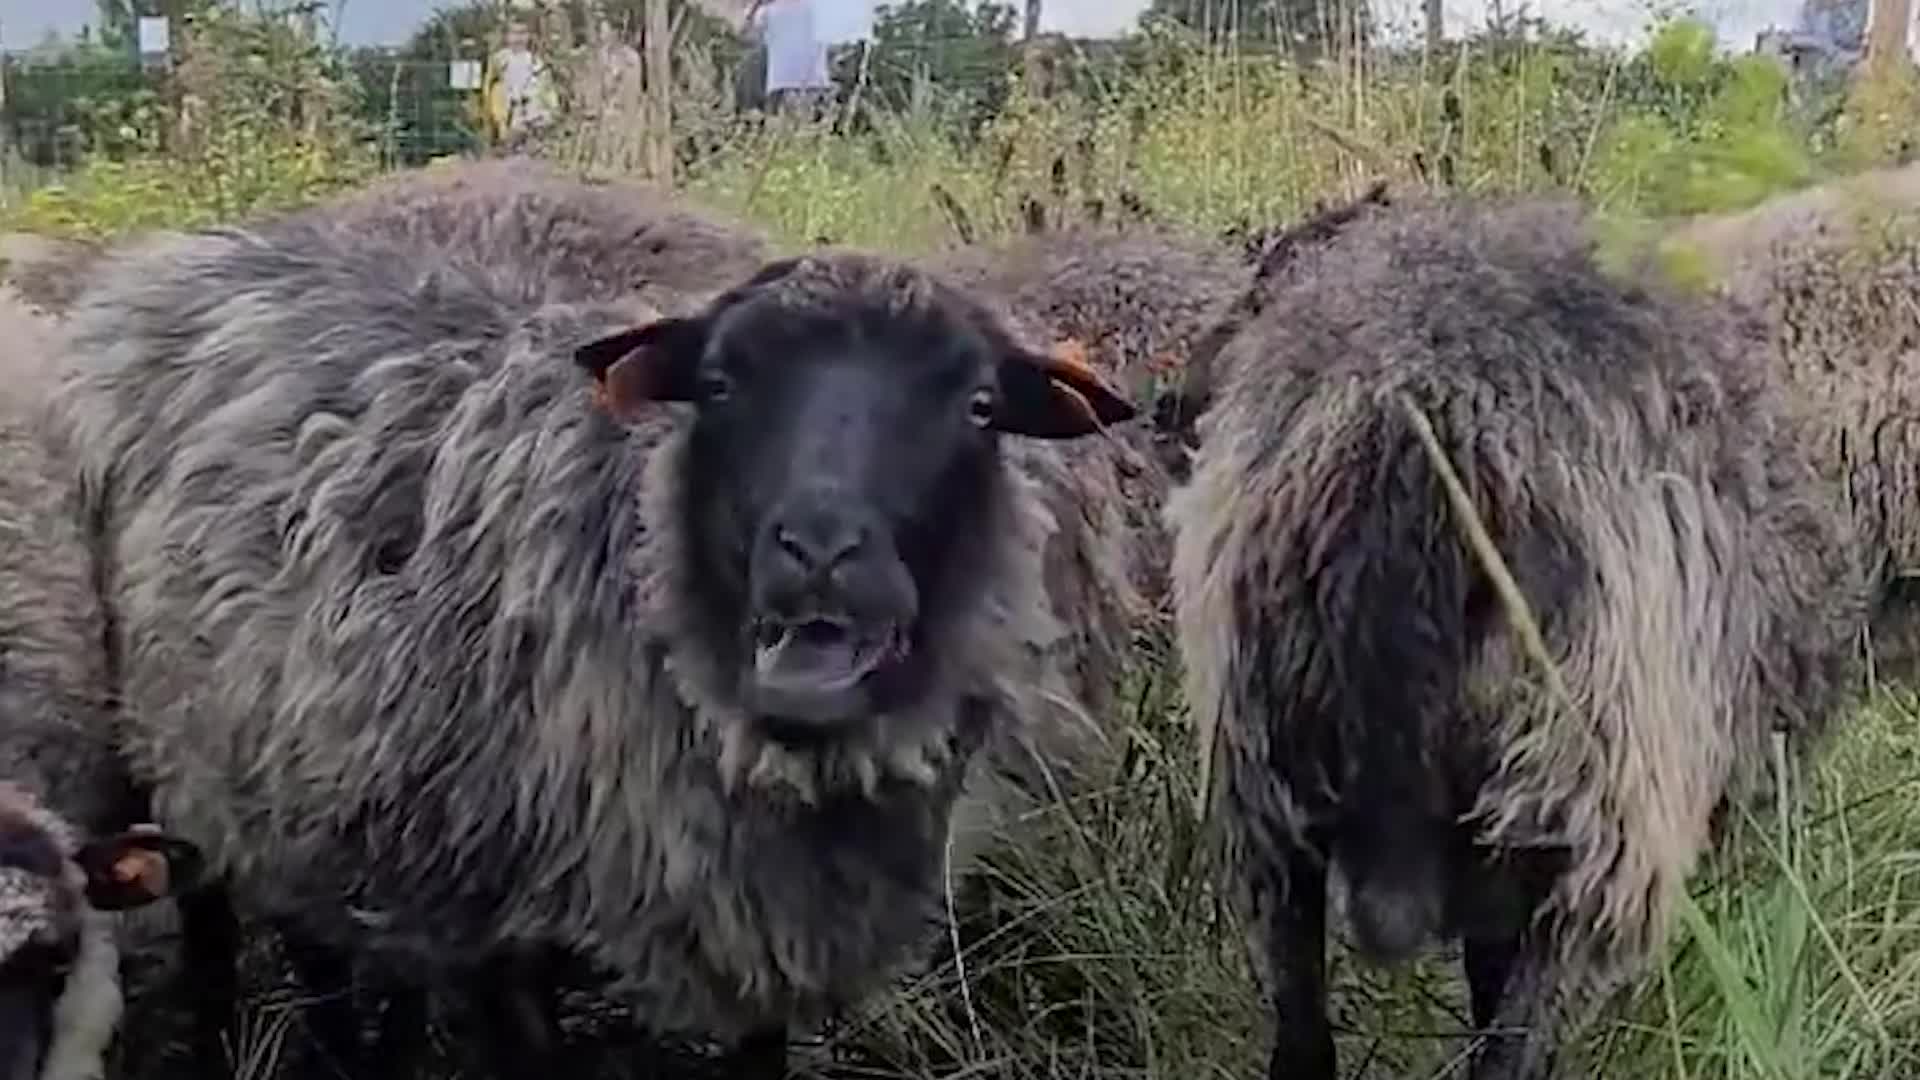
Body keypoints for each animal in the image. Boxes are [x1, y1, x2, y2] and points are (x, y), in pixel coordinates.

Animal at [44, 177, 1136, 1080]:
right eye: (718, 384)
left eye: (982, 406)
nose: (818, 549)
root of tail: (181, 249)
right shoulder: (495, 917)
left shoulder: (761, 927)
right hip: (177, 756)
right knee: (220, 928)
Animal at [1166, 196, 1870, 1080]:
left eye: (1258, 290)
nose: (1167, 408)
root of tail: (1410, 418)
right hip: (1593, 805)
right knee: (1514, 1046)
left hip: (1261, 777)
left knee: (1301, 1023)